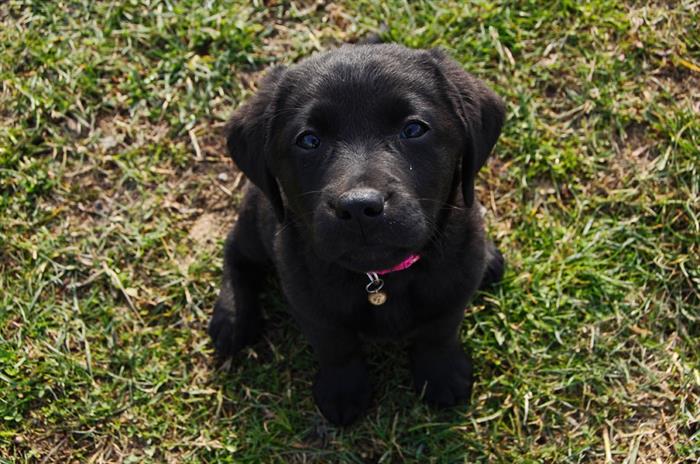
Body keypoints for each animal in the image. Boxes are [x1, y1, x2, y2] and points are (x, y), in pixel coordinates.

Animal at [208, 42, 504, 424]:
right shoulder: (307, 298)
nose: (359, 207)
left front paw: (442, 375)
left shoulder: (455, 282)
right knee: (236, 251)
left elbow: (439, 330)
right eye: (309, 140)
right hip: (257, 217)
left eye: (413, 129)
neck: (381, 279)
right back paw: (232, 317)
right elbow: (336, 345)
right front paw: (343, 393)